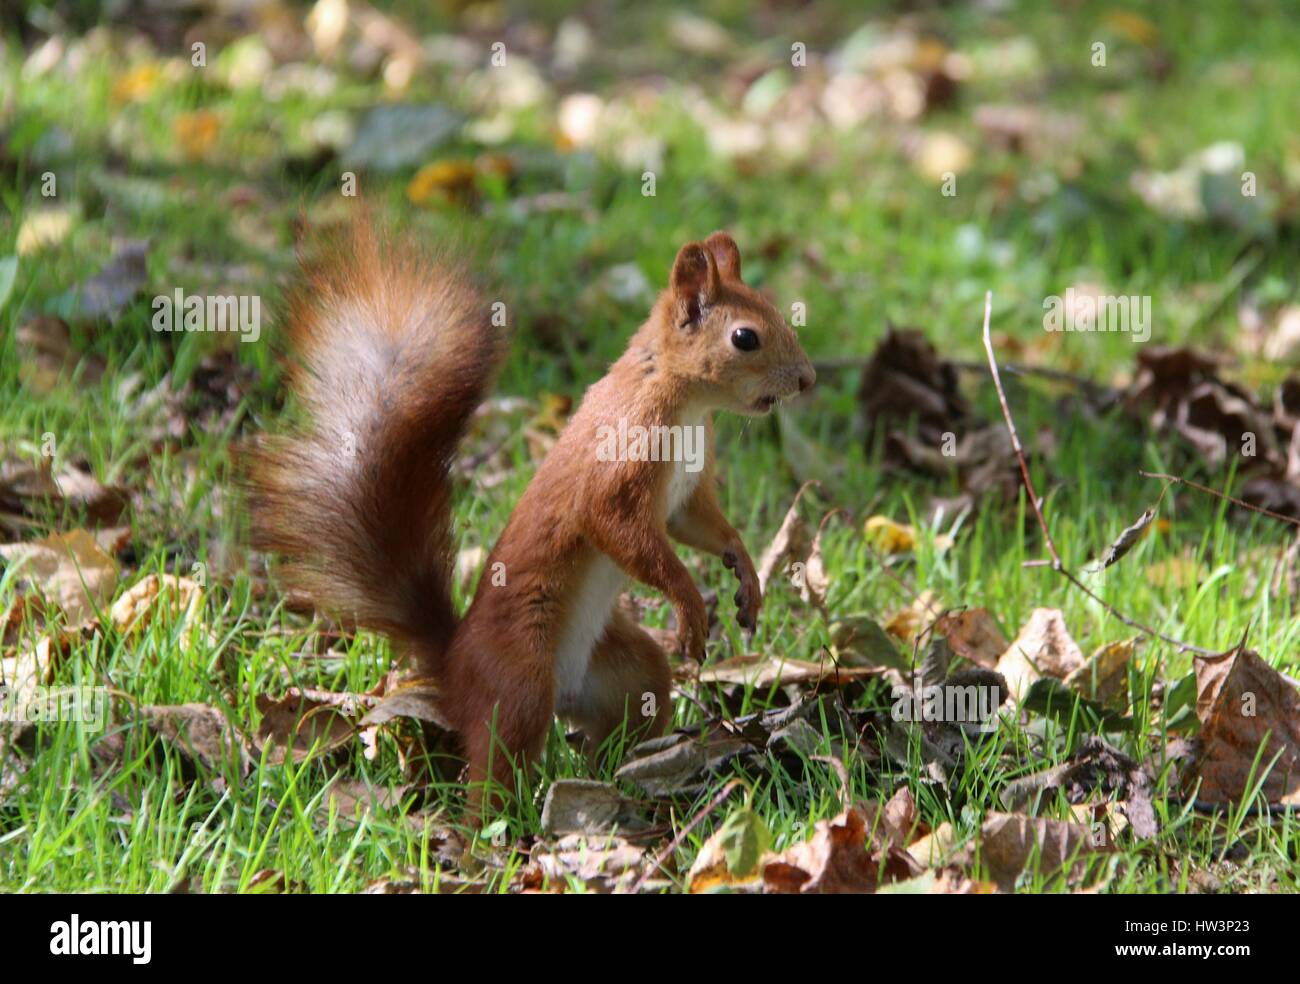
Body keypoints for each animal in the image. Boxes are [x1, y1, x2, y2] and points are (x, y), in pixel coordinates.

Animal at [249, 218, 815, 815]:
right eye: (745, 338)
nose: (807, 379)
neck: (681, 399)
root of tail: (454, 668)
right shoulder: (617, 464)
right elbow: (619, 529)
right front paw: (688, 604)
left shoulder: (686, 493)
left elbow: (702, 525)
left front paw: (746, 574)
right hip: (518, 676)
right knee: (498, 763)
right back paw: (499, 825)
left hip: (626, 672)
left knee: (625, 709)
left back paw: (619, 776)